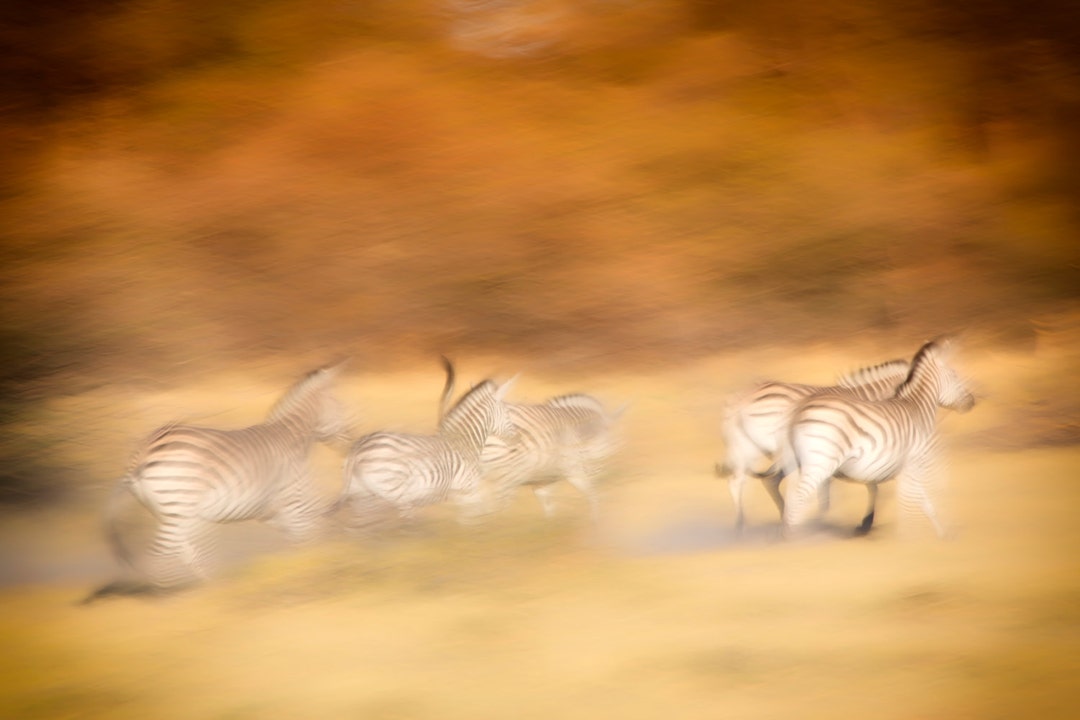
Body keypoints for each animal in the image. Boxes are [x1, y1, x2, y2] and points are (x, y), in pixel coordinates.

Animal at [104, 363, 351, 588]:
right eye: (340, 406)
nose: (349, 441)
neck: (293, 439)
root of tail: (142, 452)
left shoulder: (271, 511)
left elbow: (303, 540)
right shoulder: (294, 502)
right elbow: (308, 539)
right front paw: (312, 575)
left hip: (174, 513)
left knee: (186, 554)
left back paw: (212, 587)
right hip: (180, 506)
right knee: (160, 558)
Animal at [336, 368, 517, 526]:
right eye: (508, 413)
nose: (516, 439)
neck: (464, 443)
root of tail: (358, 448)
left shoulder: (464, 494)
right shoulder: (467, 490)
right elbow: (474, 519)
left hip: (362, 495)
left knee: (362, 528)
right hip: (395, 492)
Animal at [438, 359, 623, 521]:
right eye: (611, 440)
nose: (604, 473)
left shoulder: (543, 480)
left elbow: (550, 508)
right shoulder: (571, 468)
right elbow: (592, 496)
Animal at [718, 358, 911, 535]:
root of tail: (742, 399)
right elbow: (869, 485)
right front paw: (864, 523)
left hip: (746, 446)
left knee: (743, 481)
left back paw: (745, 525)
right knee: (759, 480)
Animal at [780, 337, 975, 538]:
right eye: (954, 375)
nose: (971, 401)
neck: (916, 408)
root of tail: (799, 410)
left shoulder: (896, 467)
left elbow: (907, 496)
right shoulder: (914, 462)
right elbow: (919, 499)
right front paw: (933, 532)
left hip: (800, 462)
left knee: (791, 496)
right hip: (819, 464)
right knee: (799, 498)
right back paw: (798, 539)